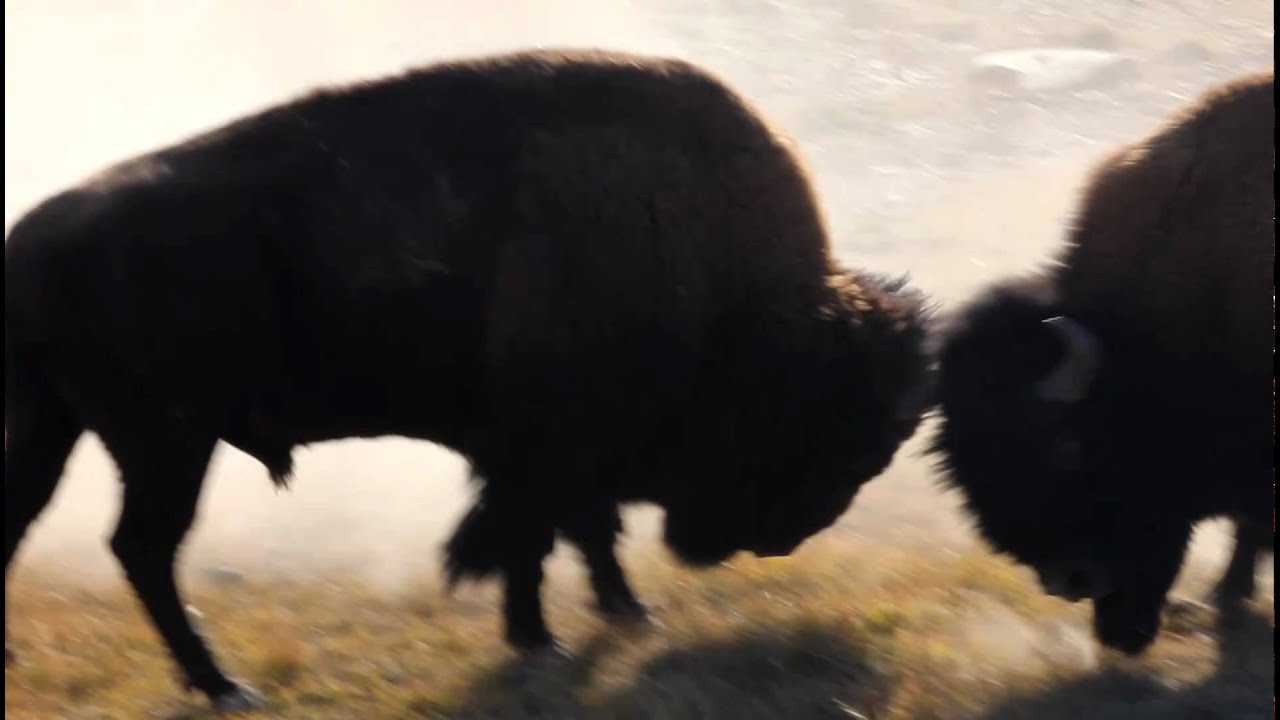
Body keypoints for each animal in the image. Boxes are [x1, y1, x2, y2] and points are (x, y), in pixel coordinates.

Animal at [4, 49, 931, 709]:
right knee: (143, 549)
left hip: (61, 432)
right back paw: (226, 686)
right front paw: (543, 639)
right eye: (835, 429)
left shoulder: (559, 457)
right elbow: (532, 539)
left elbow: (581, 535)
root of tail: (30, 242)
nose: (784, 536)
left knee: (33, 524)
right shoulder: (542, 453)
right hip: (166, 444)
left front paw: (622, 613)